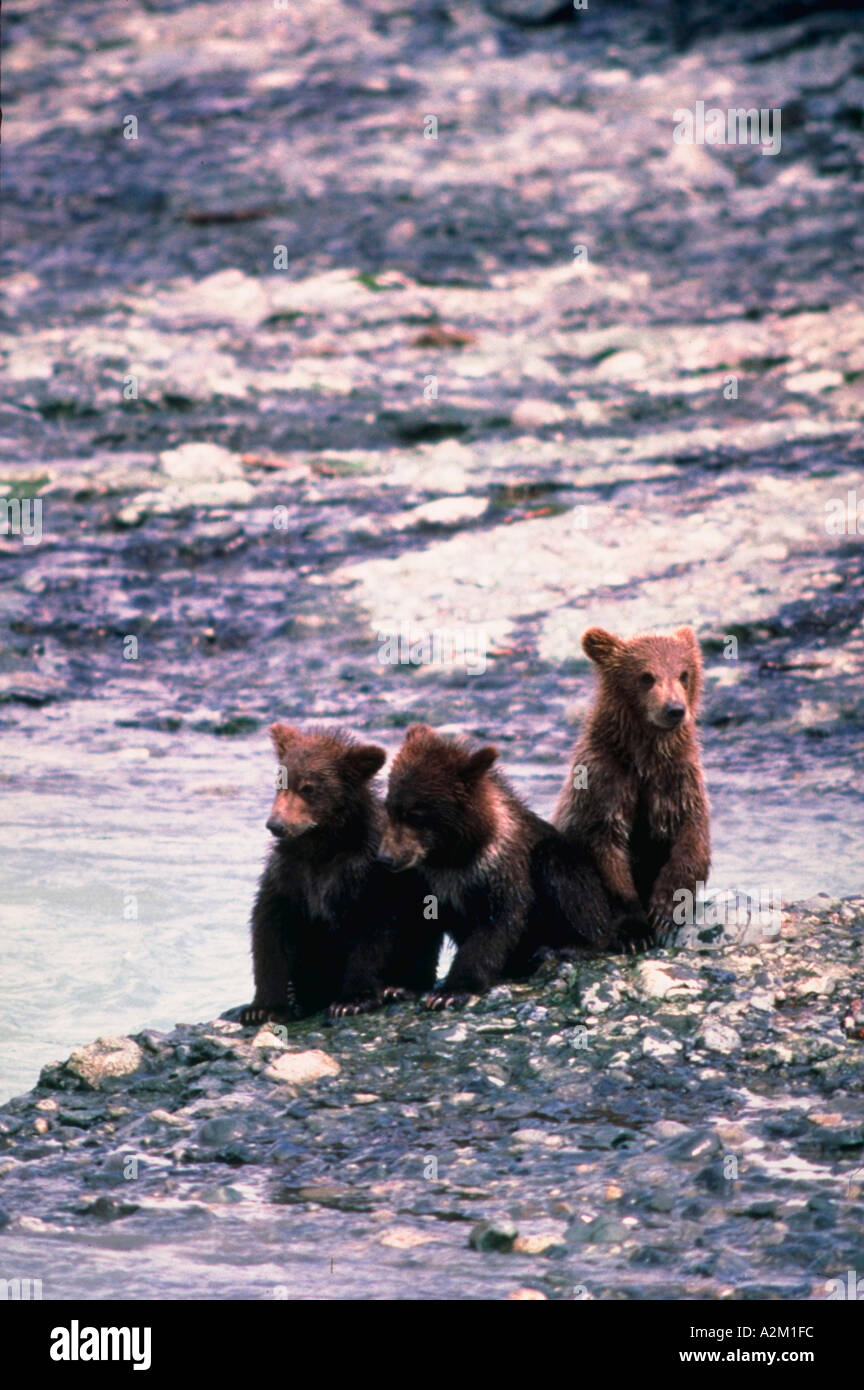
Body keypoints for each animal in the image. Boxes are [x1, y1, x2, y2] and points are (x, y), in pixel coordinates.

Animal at [234, 724, 438, 1024]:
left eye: (308, 788)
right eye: (280, 782)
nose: (276, 824)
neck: (322, 846)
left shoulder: (366, 874)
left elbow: (373, 931)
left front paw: (352, 1000)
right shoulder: (290, 875)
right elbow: (269, 927)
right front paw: (261, 1007)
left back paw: (398, 987)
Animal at [378, 724, 623, 1009]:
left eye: (416, 815)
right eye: (390, 807)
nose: (386, 857)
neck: (454, 855)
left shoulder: (500, 867)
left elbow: (497, 923)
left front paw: (451, 991)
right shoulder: (427, 881)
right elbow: (418, 927)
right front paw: (402, 986)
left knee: (563, 874)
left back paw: (565, 946)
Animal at [554, 626, 711, 944]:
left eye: (683, 674)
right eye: (646, 676)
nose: (674, 709)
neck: (645, 756)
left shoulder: (678, 779)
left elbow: (692, 837)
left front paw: (665, 910)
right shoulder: (603, 781)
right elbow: (604, 846)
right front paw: (635, 929)